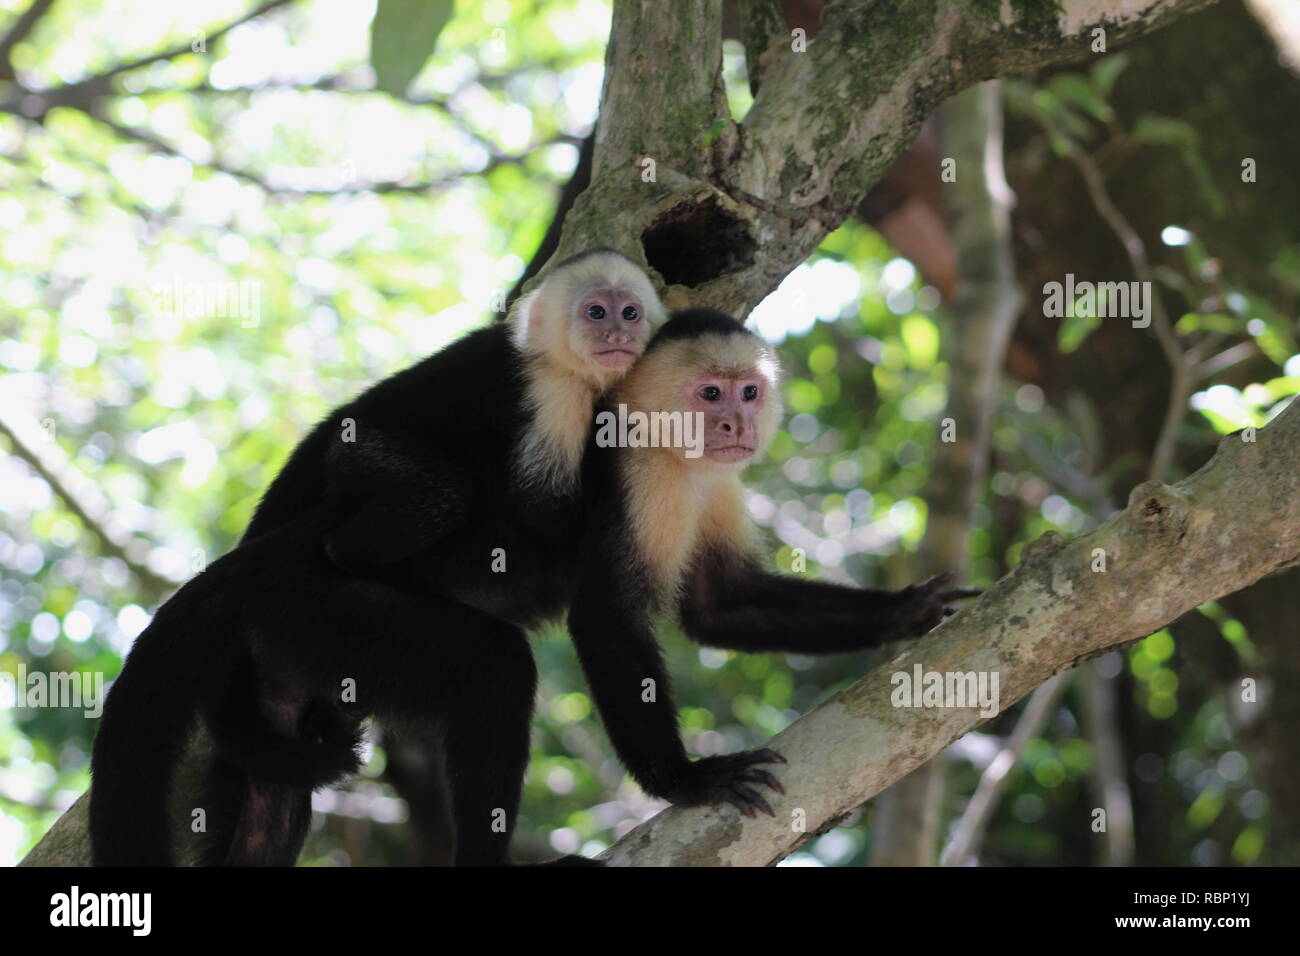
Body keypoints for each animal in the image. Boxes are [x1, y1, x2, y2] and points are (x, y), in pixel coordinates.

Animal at [89, 248, 665, 867]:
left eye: (630, 311)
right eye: (596, 311)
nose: (617, 333)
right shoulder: (550, 395)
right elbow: (544, 513)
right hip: (339, 550)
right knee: (447, 515)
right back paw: (353, 551)